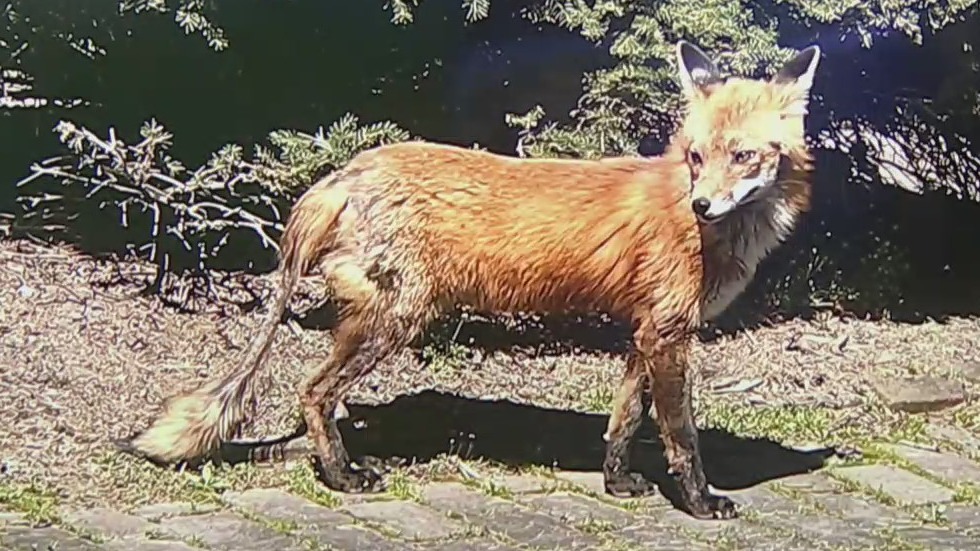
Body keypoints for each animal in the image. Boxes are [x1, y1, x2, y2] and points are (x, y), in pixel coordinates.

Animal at [118, 40, 821, 520]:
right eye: (697, 157)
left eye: (743, 156)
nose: (703, 205)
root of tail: (345, 172)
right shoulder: (670, 333)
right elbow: (681, 435)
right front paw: (701, 504)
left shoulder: (647, 331)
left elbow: (624, 420)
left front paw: (618, 484)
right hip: (396, 321)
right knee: (312, 393)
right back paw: (343, 477)